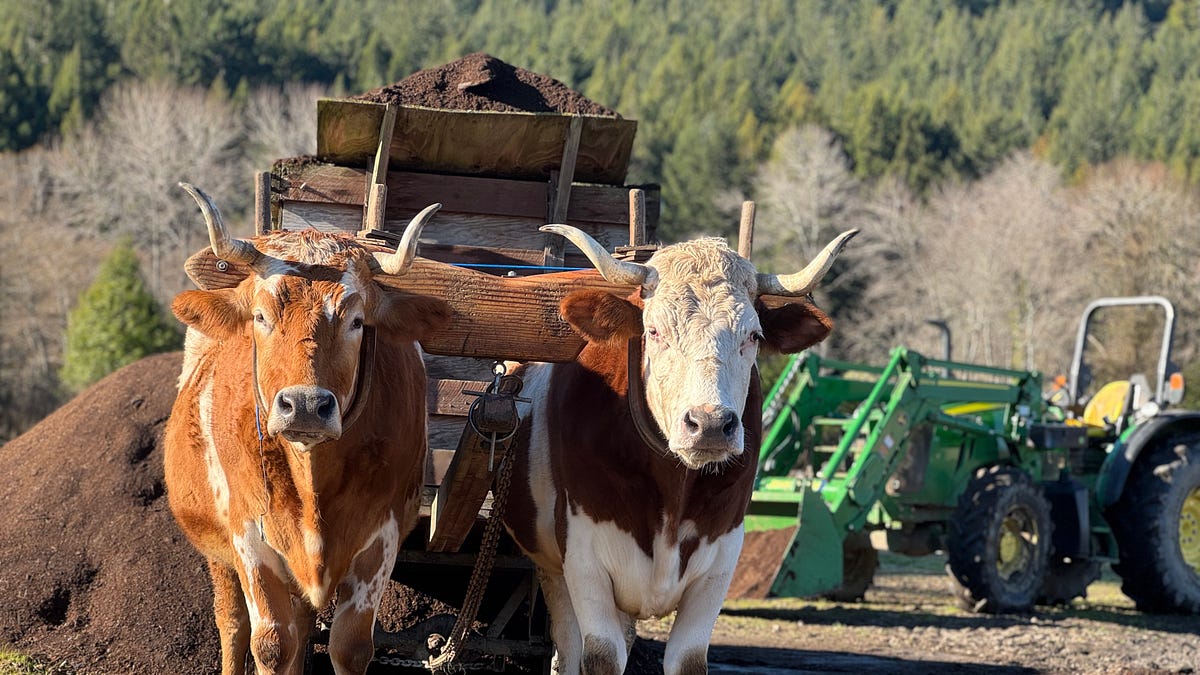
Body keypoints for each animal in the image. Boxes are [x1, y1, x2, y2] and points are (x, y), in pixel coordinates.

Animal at [164, 183, 449, 675]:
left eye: (357, 321)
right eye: (260, 316)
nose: (306, 406)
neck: (312, 475)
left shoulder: (382, 536)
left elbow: (348, 646)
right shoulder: (249, 538)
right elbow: (271, 645)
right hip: (218, 553)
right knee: (234, 625)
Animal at [502, 225, 856, 675]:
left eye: (754, 336)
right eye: (653, 331)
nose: (710, 424)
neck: (673, 489)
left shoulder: (719, 564)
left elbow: (688, 659)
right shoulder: (583, 560)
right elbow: (600, 655)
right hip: (552, 570)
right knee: (567, 647)